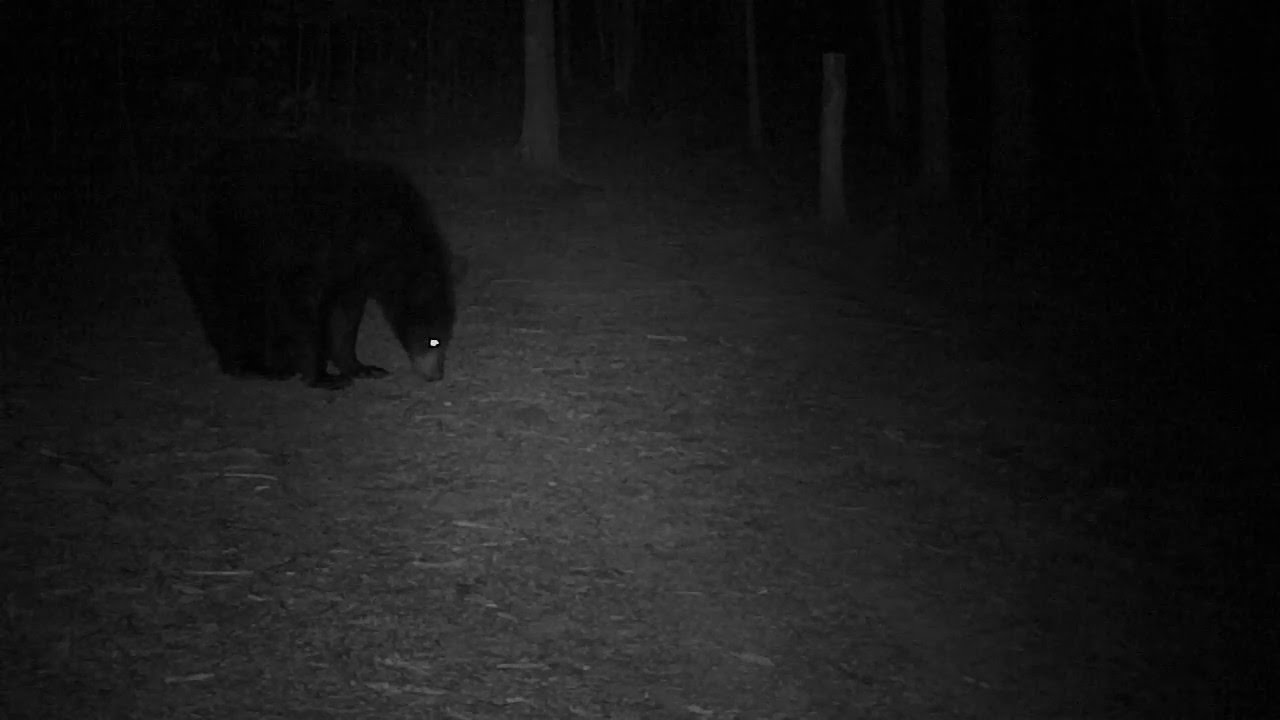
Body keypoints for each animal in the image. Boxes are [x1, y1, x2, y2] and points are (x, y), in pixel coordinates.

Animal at [169, 137, 459, 390]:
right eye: (433, 341)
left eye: (444, 339)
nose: (436, 375)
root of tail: (185, 186)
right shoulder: (308, 250)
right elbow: (301, 307)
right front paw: (323, 377)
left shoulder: (351, 270)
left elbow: (345, 315)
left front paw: (361, 367)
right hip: (216, 241)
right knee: (230, 303)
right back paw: (252, 367)